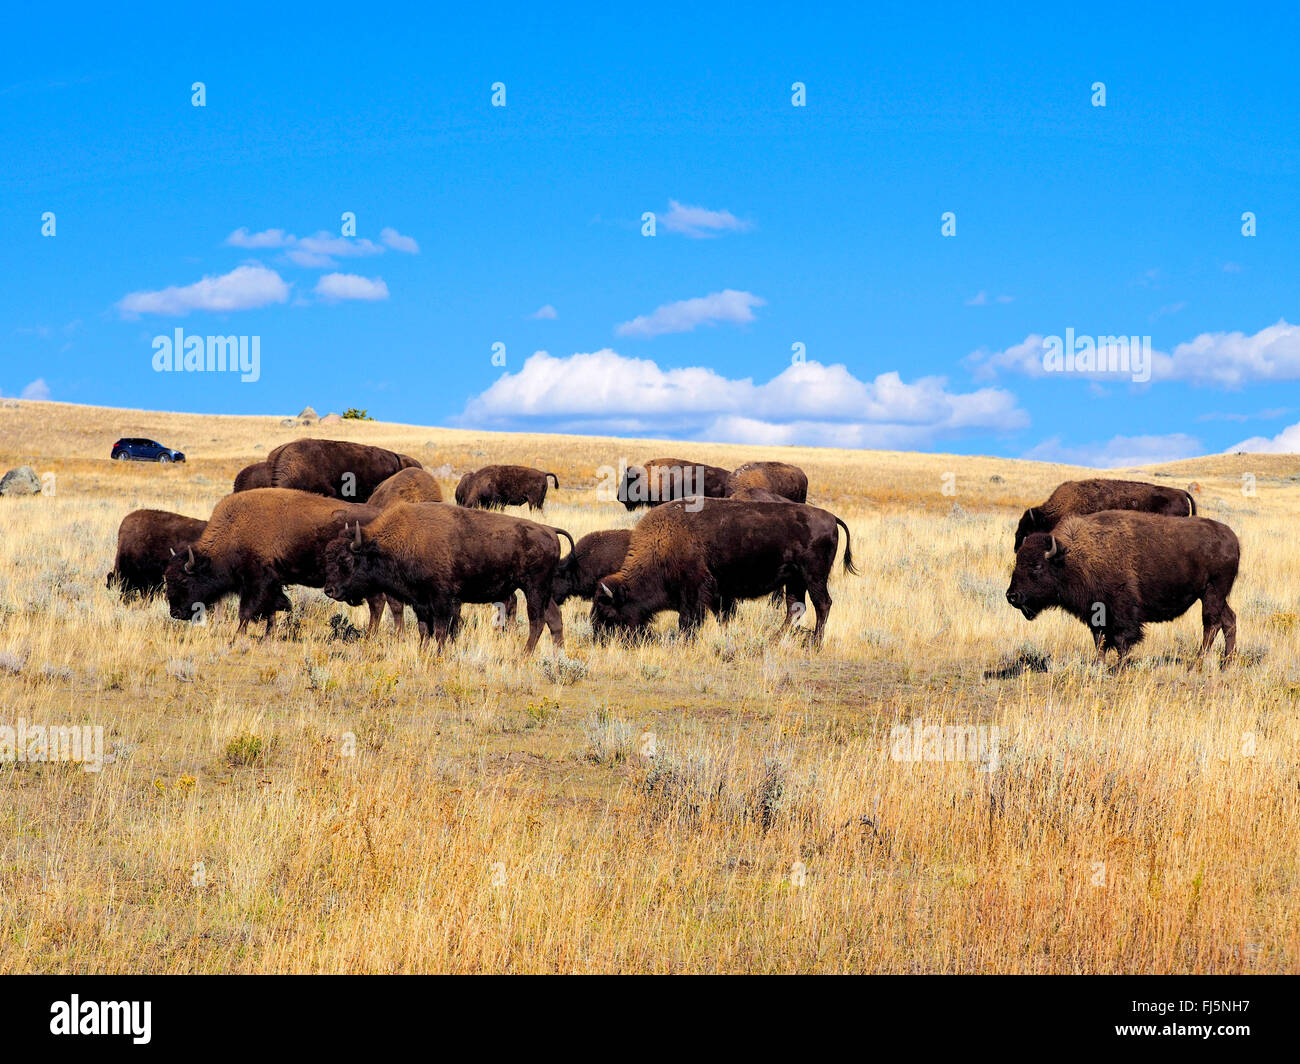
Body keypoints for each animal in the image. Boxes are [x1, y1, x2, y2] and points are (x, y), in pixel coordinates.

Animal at [164, 488, 400, 637]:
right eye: (168, 580)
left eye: (184, 581)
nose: (175, 613)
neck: (234, 530)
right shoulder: (272, 583)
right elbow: (272, 610)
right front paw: (269, 636)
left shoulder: (256, 582)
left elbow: (247, 611)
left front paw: (237, 638)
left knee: (377, 603)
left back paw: (370, 636)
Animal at [322, 502, 573, 654]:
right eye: (329, 557)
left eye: (346, 560)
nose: (329, 590)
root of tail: (549, 530)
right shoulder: (420, 601)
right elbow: (424, 629)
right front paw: (423, 651)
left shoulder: (442, 598)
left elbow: (442, 629)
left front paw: (438, 653)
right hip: (543, 590)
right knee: (554, 618)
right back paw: (558, 654)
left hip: (533, 587)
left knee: (537, 620)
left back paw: (524, 654)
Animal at [592, 497, 857, 644]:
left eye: (608, 612)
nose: (598, 639)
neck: (665, 540)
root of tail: (831, 517)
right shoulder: (719, 594)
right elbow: (723, 616)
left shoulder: (695, 589)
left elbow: (688, 619)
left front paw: (685, 641)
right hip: (795, 580)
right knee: (795, 607)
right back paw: (775, 639)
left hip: (814, 577)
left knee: (822, 604)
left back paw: (816, 643)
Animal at [1005, 510, 1239, 666]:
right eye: (1017, 563)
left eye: (1037, 566)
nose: (1012, 596)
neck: (1072, 556)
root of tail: (1232, 538)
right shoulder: (1096, 611)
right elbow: (1099, 639)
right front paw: (1098, 665)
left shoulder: (1121, 610)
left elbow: (1121, 639)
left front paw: (1119, 667)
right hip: (1215, 595)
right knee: (1228, 620)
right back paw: (1226, 663)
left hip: (1212, 592)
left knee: (1211, 624)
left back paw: (1197, 664)